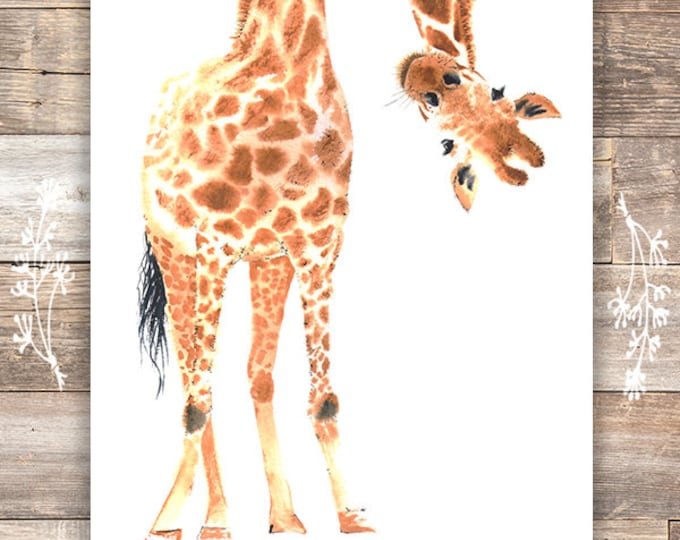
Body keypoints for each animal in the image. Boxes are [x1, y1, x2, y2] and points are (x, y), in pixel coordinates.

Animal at [138, 1, 373, 538]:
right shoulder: (213, 244)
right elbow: (197, 403)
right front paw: (169, 520)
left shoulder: (318, 245)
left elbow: (324, 397)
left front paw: (353, 515)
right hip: (174, 253)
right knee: (191, 377)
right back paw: (212, 517)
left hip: (268, 263)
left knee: (256, 372)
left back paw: (284, 515)